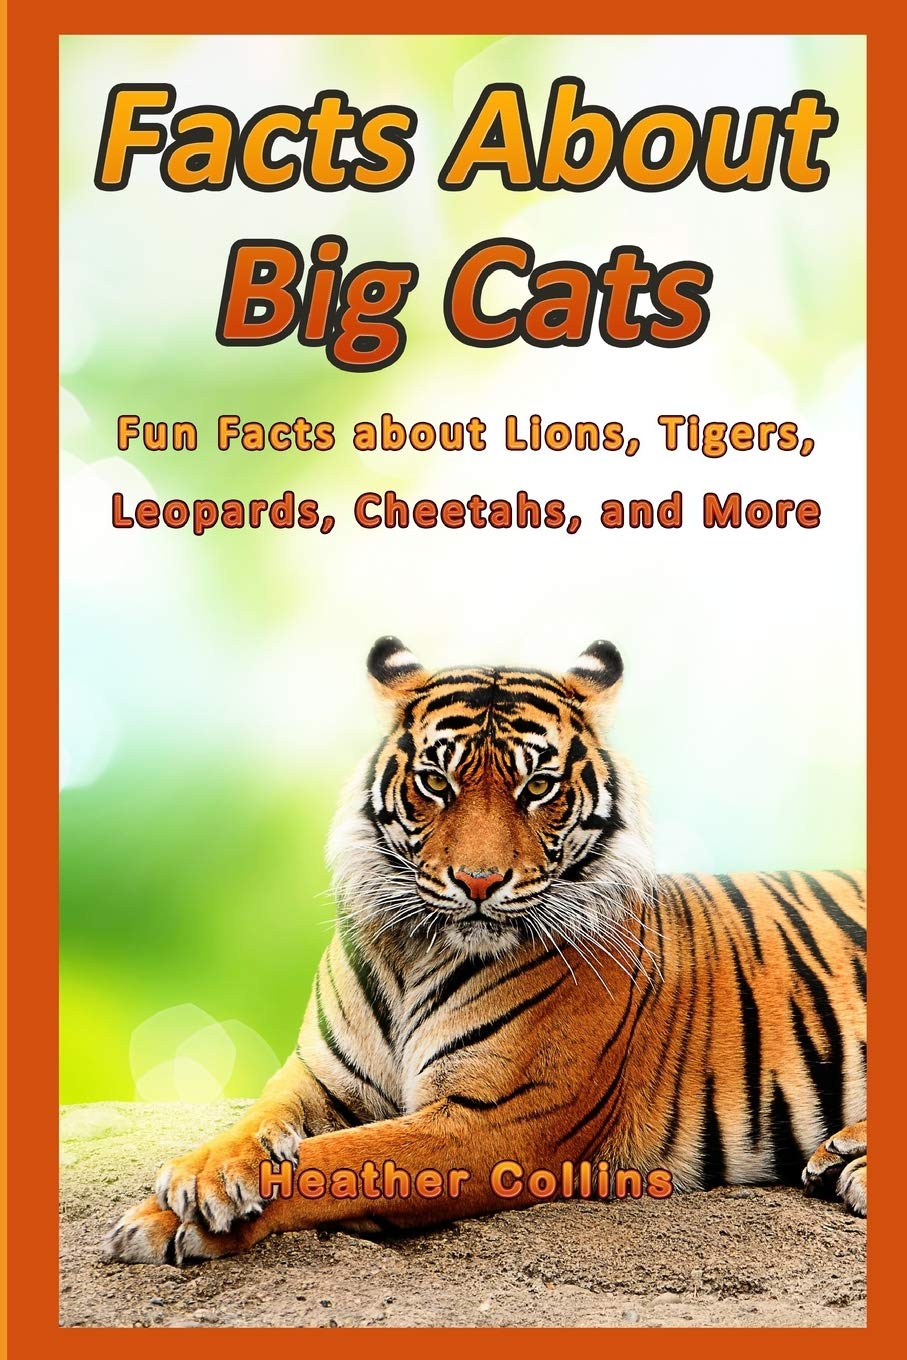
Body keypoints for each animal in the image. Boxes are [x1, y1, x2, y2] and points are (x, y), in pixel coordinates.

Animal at [103, 637, 867, 1265]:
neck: (413, 953)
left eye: (539, 787)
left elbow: (335, 1158)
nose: (477, 881)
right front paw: (202, 1176)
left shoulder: (491, 1124)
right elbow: (258, 1122)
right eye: (436, 782)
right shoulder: (318, 1078)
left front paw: (164, 1221)